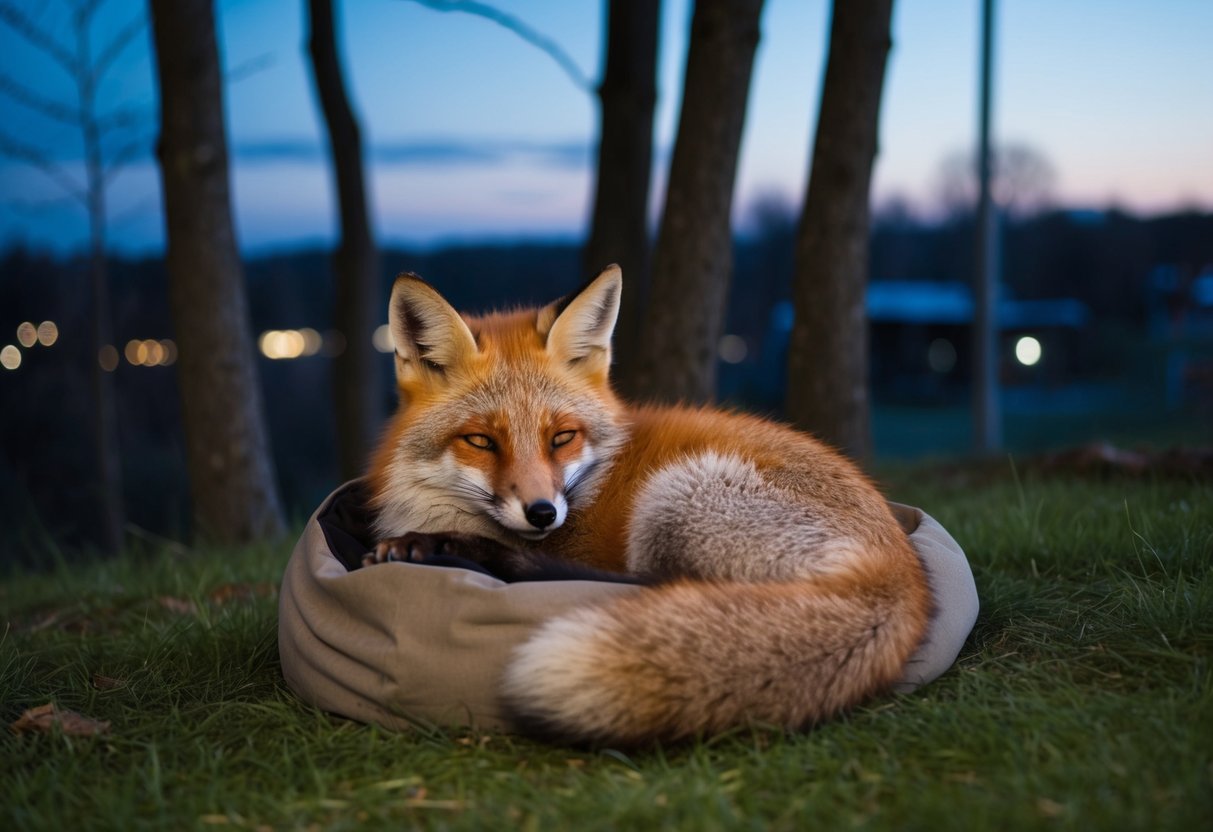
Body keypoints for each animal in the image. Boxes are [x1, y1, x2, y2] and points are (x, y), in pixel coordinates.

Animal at [365, 265, 933, 746]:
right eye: (481, 442)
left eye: (562, 437)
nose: (543, 513)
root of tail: (901, 577)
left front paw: (432, 544)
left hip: (676, 493)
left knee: (646, 584)